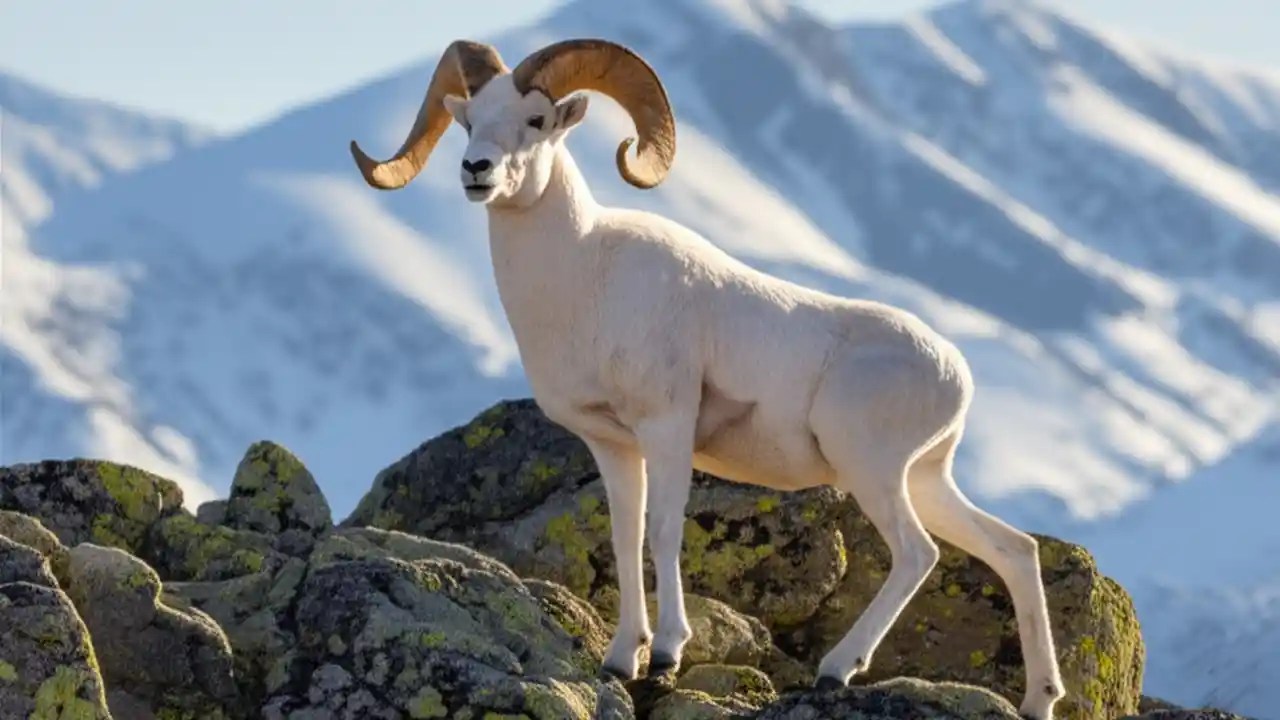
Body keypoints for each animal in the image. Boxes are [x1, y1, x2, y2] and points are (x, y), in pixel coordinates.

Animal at [350, 38, 1066, 719]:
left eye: (535, 120)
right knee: (1013, 550)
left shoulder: (667, 427)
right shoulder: (613, 445)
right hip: (926, 479)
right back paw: (1039, 699)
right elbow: (626, 536)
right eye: (470, 121)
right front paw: (621, 660)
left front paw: (666, 653)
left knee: (918, 555)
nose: (477, 171)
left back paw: (837, 669)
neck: (583, 277)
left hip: (873, 471)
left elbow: (665, 531)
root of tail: (956, 374)